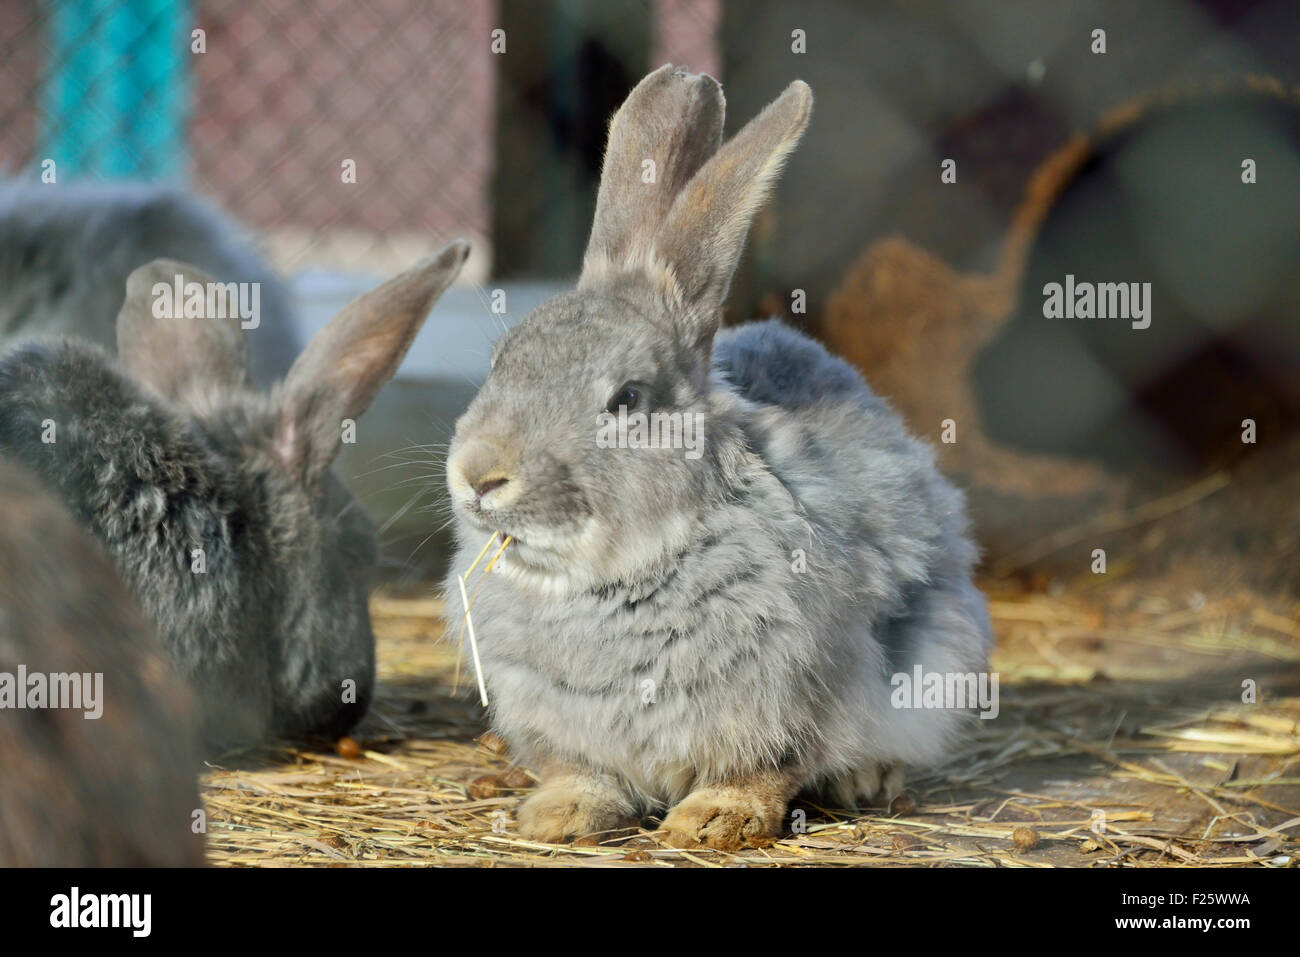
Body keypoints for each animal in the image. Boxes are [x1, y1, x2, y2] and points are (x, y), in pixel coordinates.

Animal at [443, 65, 993, 850]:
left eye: (627, 398)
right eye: (500, 360)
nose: (478, 474)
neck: (615, 574)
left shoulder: (794, 690)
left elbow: (765, 768)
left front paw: (712, 822)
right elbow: (581, 770)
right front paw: (560, 815)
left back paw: (867, 780)